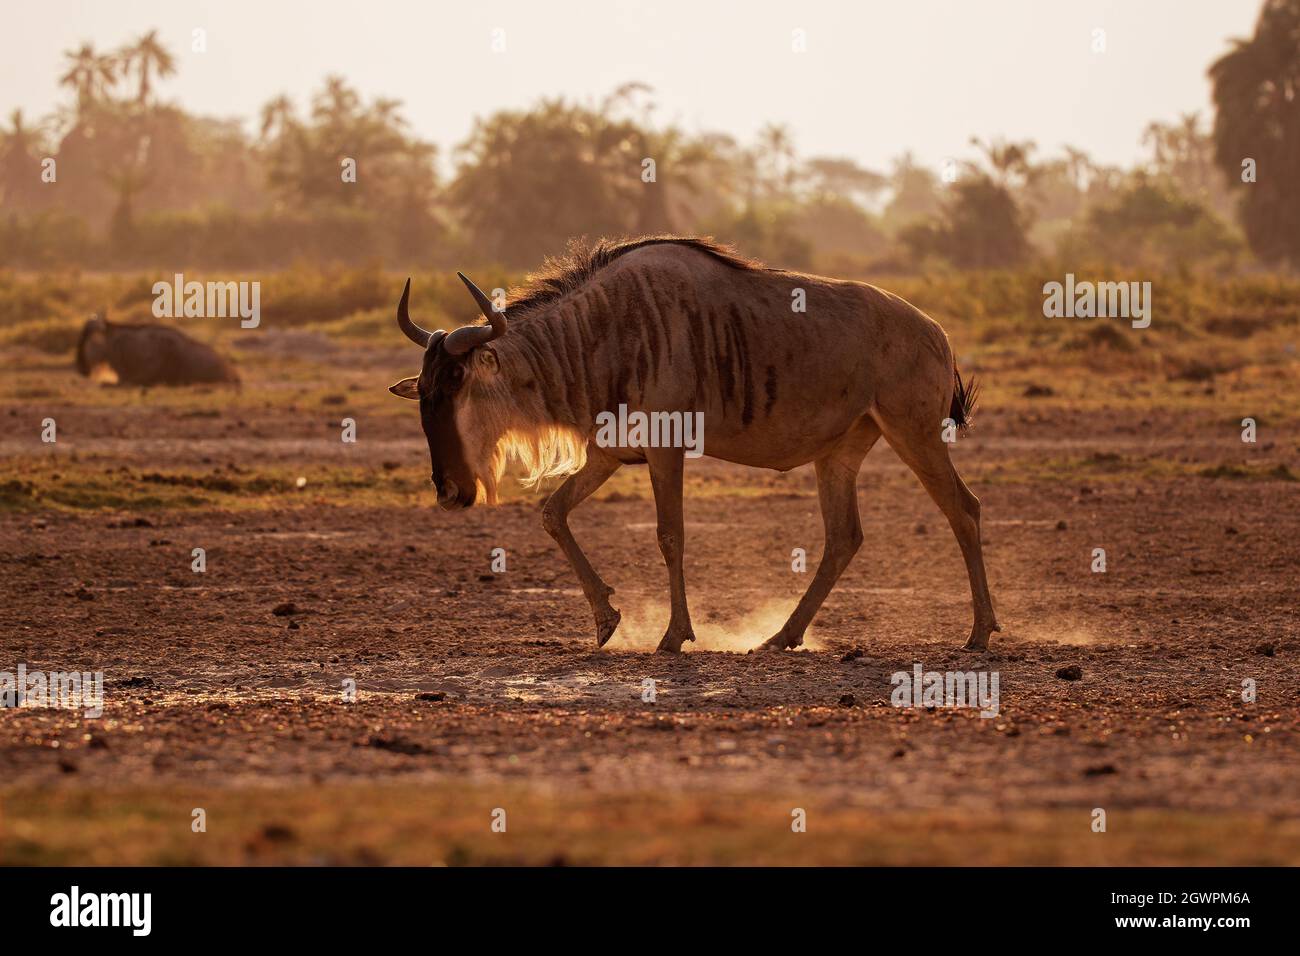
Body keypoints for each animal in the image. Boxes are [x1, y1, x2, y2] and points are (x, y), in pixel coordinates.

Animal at [389, 237, 999, 653]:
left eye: (458, 382)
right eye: (423, 393)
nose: (448, 493)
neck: (602, 334)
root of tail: (937, 333)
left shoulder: (666, 450)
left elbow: (670, 535)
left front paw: (673, 635)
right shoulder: (609, 454)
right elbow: (552, 514)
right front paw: (606, 619)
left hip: (915, 434)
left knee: (963, 510)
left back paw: (979, 632)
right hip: (840, 452)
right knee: (844, 538)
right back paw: (781, 637)